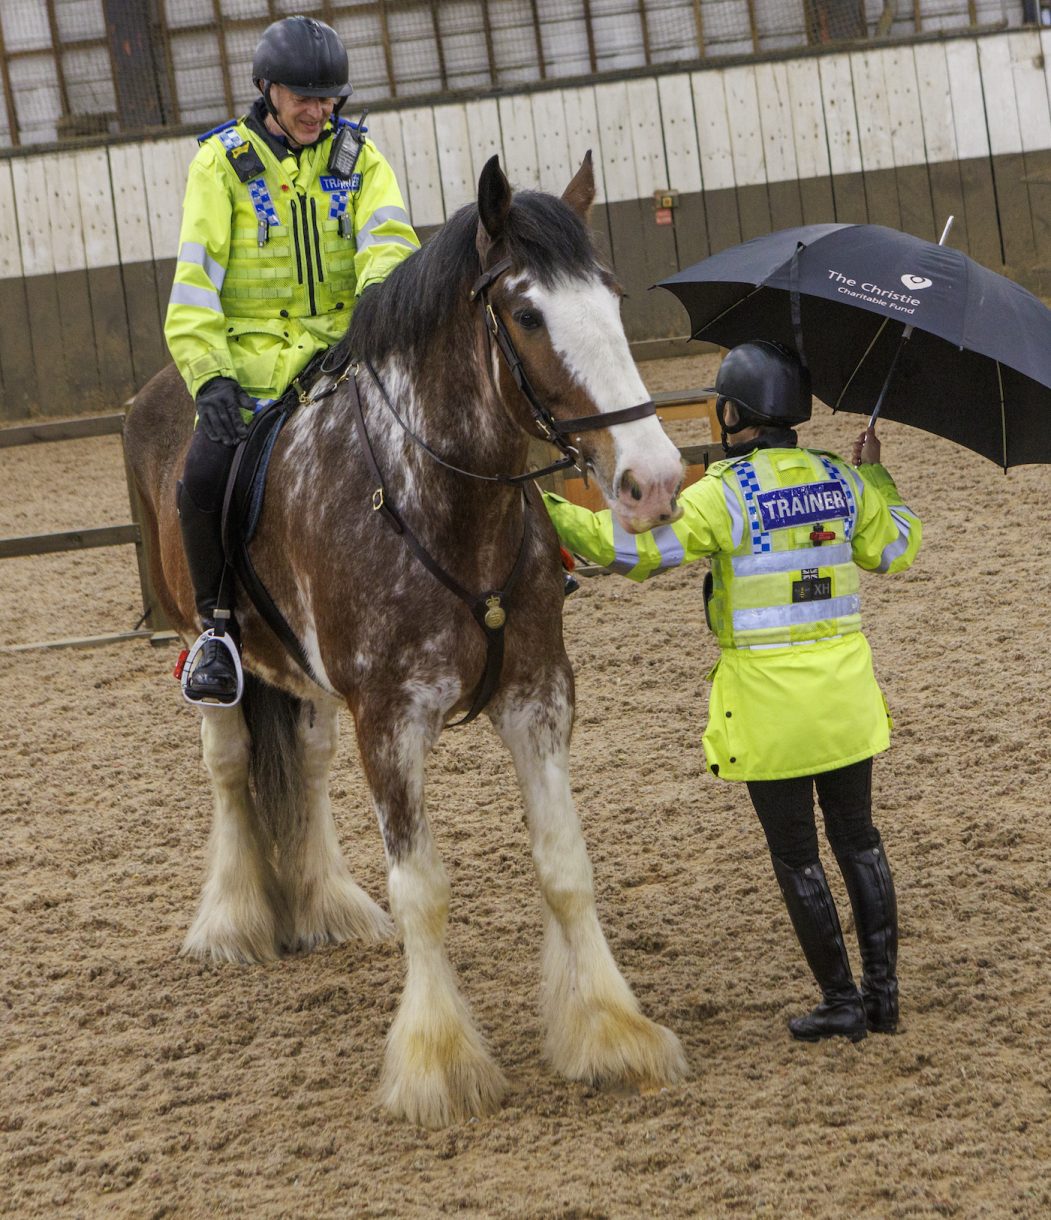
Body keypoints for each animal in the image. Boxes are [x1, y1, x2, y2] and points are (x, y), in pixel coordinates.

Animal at [124, 153, 687, 1127]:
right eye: (529, 315)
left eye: (611, 298)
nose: (651, 482)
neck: (435, 503)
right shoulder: (390, 721)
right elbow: (422, 889)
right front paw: (437, 1063)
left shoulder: (538, 697)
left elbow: (564, 867)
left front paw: (611, 1031)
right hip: (206, 646)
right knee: (229, 767)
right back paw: (232, 920)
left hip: (307, 680)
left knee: (307, 766)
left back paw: (322, 905)